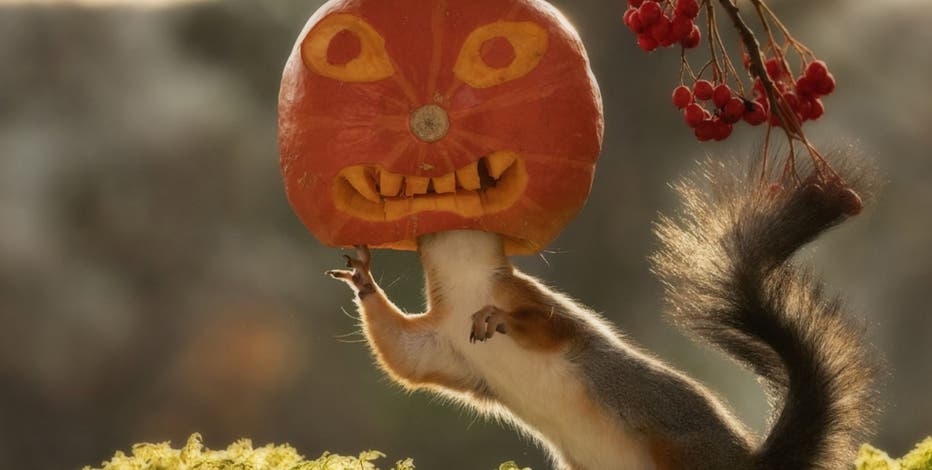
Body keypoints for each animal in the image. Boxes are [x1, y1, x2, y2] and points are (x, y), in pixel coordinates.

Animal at [327, 155, 878, 470]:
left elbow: (552, 329)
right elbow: (407, 357)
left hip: (685, 456)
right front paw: (363, 279)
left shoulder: (536, 300)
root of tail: (748, 463)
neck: (465, 286)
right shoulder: (444, 346)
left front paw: (498, 321)